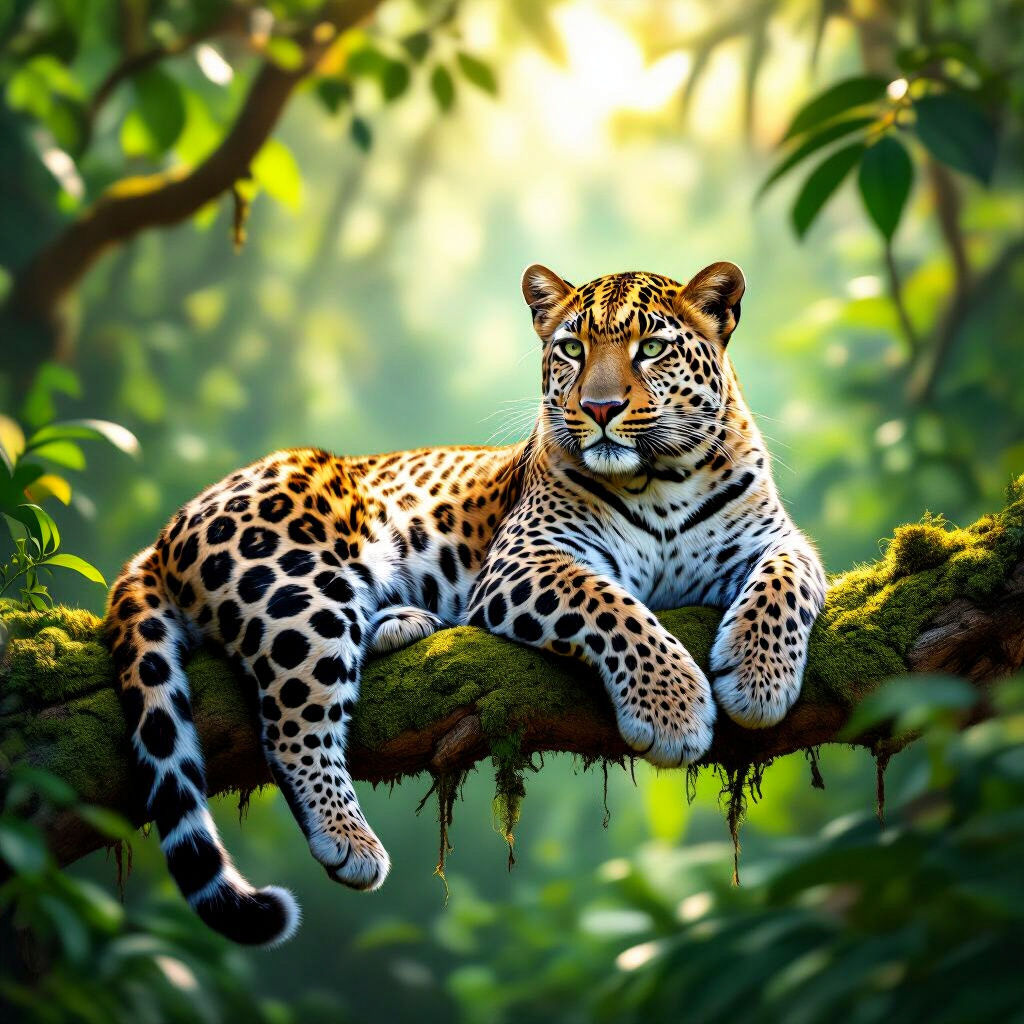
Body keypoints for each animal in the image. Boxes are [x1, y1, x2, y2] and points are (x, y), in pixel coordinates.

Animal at [105, 261, 826, 946]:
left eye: (650, 348)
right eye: (571, 348)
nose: (598, 408)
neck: (663, 479)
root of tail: (169, 527)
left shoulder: (778, 540)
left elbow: (784, 585)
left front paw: (759, 680)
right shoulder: (525, 561)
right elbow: (614, 608)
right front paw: (671, 708)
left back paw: (402, 623)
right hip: (294, 591)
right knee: (291, 725)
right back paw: (347, 837)